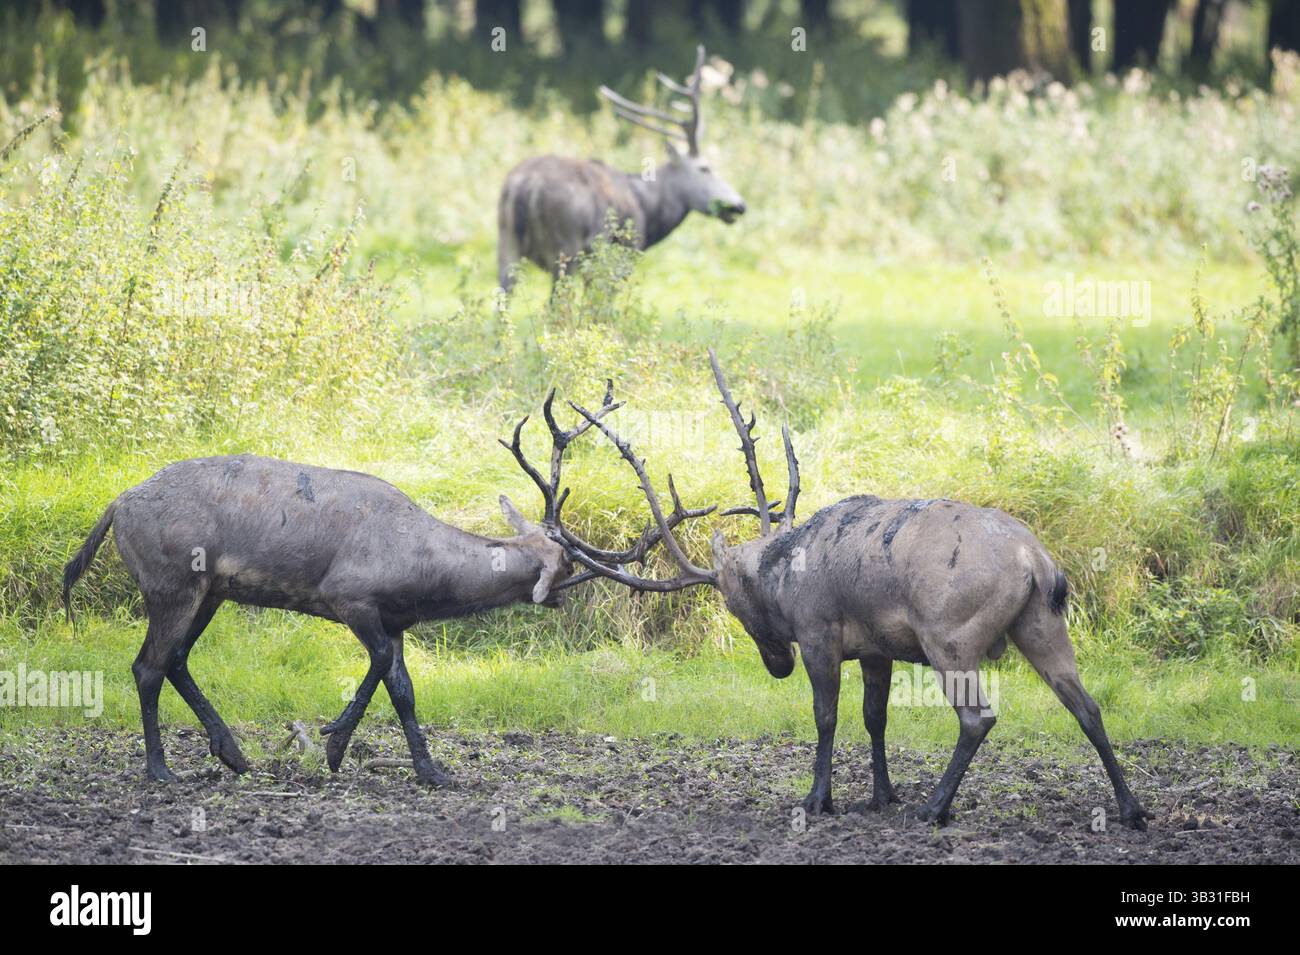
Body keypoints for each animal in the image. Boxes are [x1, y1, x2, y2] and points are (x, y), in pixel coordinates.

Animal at [62, 400, 706, 786]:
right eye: (567, 561)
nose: (563, 598)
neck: (422, 578)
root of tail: (115, 506)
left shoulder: (395, 620)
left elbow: (395, 685)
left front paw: (405, 763)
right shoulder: (350, 597)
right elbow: (384, 673)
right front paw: (345, 743)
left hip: (210, 592)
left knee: (172, 658)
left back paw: (233, 752)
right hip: (173, 582)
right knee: (148, 664)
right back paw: (160, 770)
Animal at [496, 45, 746, 293]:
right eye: (705, 168)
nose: (740, 205)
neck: (650, 210)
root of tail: (526, 185)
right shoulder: (624, 253)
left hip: (506, 243)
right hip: (566, 248)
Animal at [516, 351, 1152, 830]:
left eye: (734, 603)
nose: (775, 665)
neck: (781, 571)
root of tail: (1038, 562)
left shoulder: (819, 633)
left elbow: (825, 717)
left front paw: (818, 798)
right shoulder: (875, 648)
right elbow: (875, 718)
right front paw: (880, 794)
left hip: (951, 635)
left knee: (979, 718)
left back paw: (935, 808)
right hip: (1042, 624)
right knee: (1087, 706)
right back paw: (1131, 809)